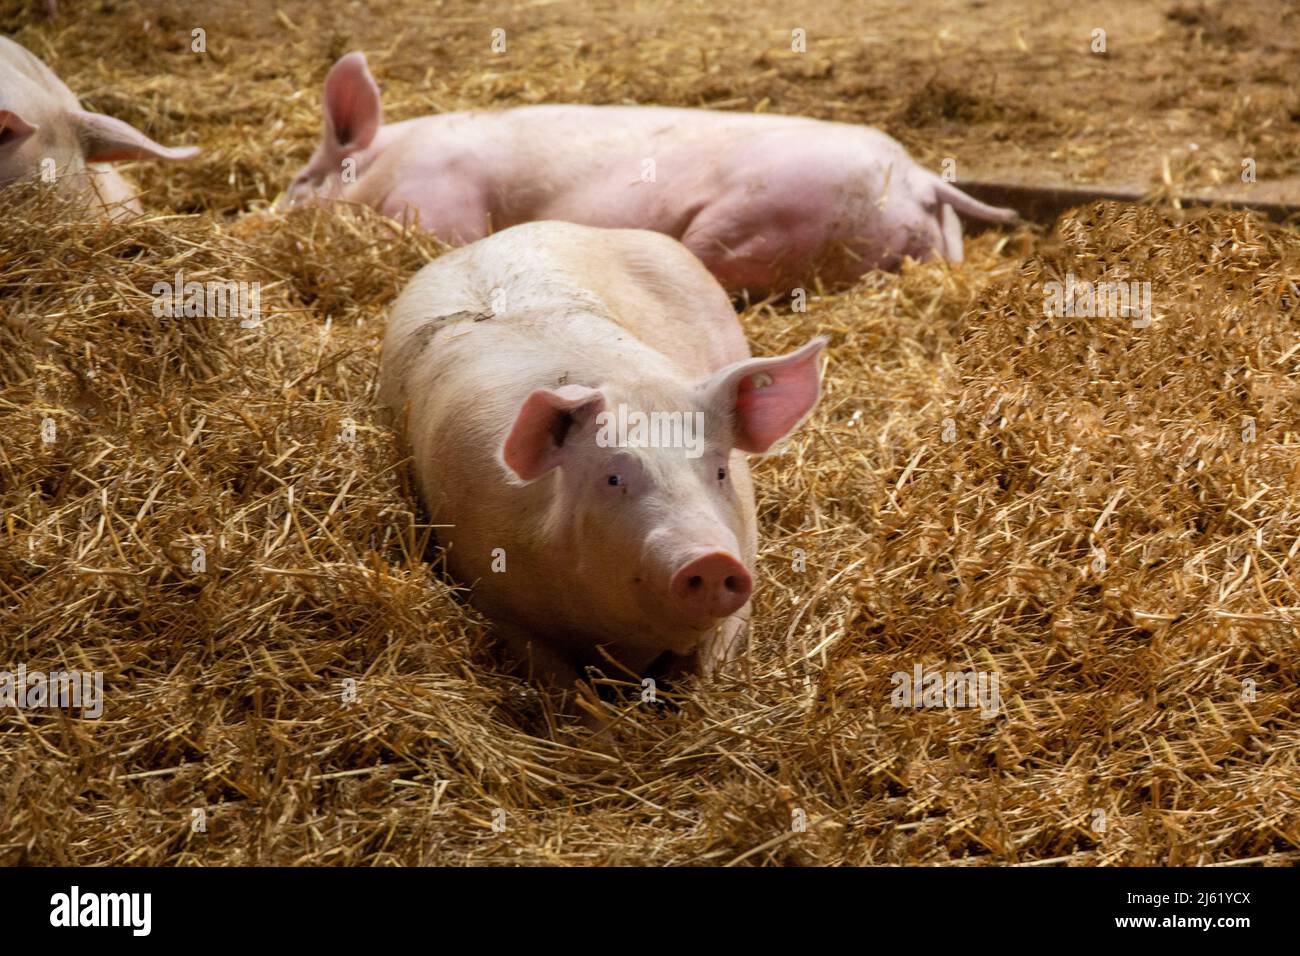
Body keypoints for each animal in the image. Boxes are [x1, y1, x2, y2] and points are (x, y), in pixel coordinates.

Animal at [281, 51, 1017, 297]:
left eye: (298, 182)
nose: (271, 215)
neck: (386, 164)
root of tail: (921, 177)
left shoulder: (440, 202)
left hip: (753, 223)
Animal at [378, 220, 826, 698]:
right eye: (612, 479)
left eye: (721, 472)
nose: (710, 559)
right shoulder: (497, 607)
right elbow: (562, 686)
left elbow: (710, 663)